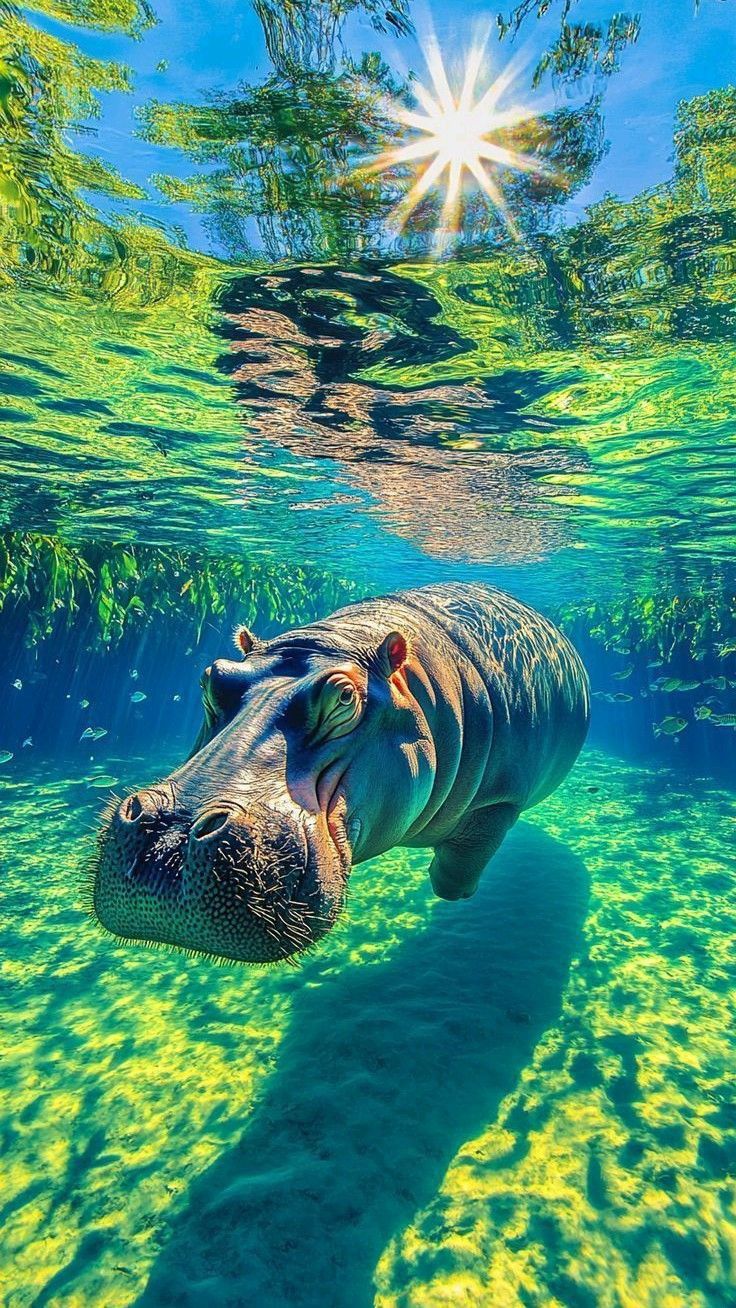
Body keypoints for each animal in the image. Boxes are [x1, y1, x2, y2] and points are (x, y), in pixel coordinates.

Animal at [93, 583, 589, 963]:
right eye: (211, 677)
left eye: (345, 697)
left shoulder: (499, 801)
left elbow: (459, 865)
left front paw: (454, 891)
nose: (167, 839)